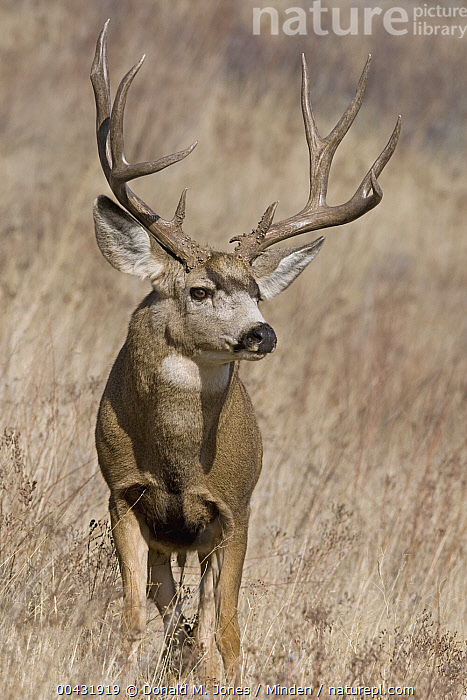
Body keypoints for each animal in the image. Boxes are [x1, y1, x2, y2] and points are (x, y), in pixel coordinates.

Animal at [91, 20, 400, 680]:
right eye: (200, 289)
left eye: (257, 290)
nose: (263, 333)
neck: (177, 460)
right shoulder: (121, 494)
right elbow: (132, 618)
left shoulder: (235, 510)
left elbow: (229, 630)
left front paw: (228, 678)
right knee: (171, 609)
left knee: (207, 621)